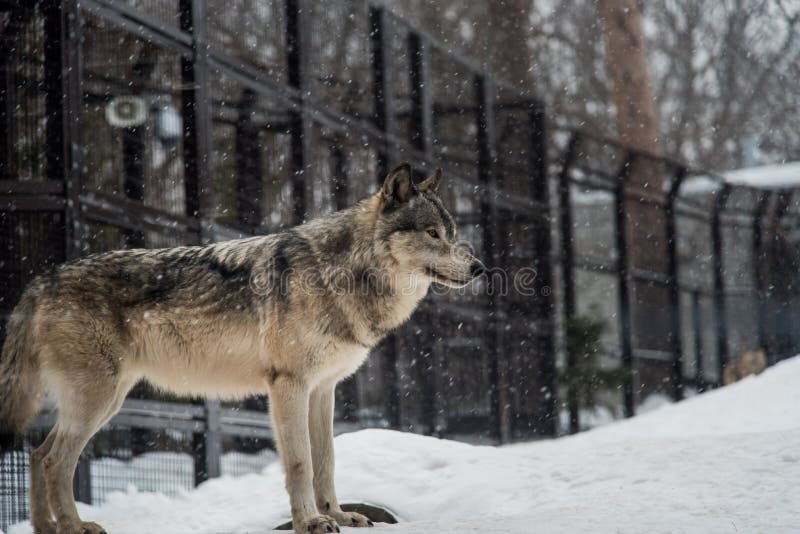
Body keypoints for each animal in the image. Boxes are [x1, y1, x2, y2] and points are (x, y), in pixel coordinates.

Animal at [0, 164, 484, 534]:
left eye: (452, 233)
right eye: (432, 234)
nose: (479, 267)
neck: (343, 274)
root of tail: (40, 282)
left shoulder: (323, 390)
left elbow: (326, 461)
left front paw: (339, 515)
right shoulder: (288, 385)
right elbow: (300, 463)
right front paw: (310, 522)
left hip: (107, 400)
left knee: (38, 454)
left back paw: (46, 528)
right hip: (99, 399)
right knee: (54, 460)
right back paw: (74, 526)